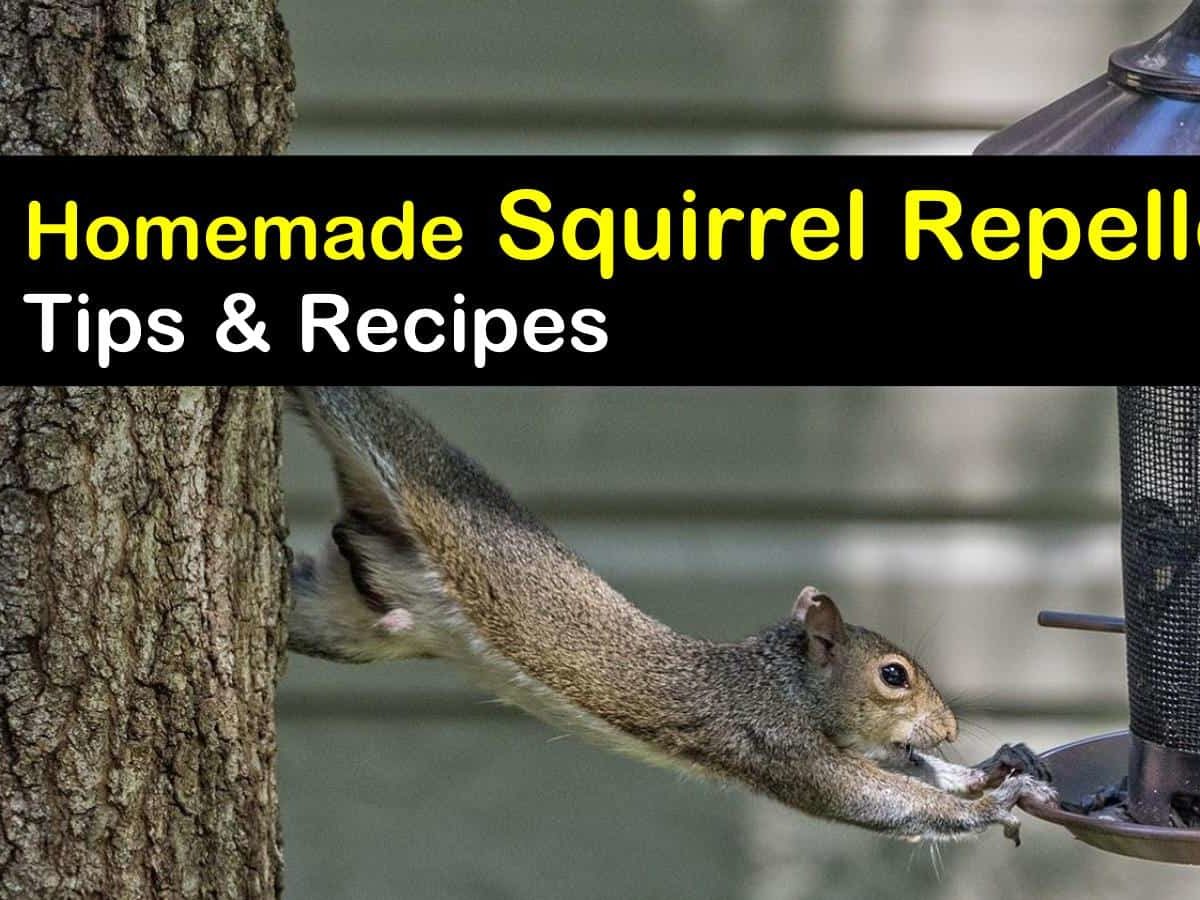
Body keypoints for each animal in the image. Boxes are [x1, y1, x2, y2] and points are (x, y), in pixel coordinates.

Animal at [286, 386, 1056, 845]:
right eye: (894, 676)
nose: (950, 727)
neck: (782, 681)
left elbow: (912, 769)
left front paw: (992, 766)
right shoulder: (775, 741)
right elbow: (876, 797)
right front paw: (988, 805)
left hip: (346, 619)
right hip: (387, 455)